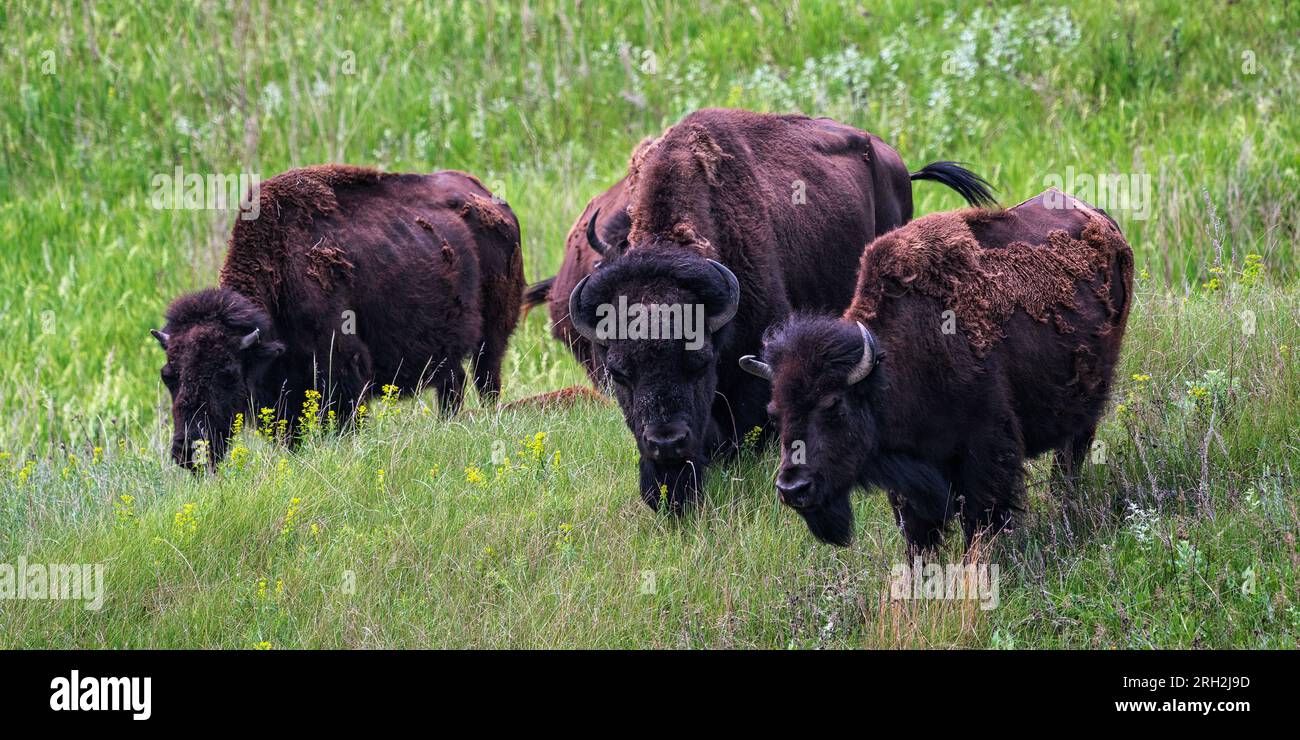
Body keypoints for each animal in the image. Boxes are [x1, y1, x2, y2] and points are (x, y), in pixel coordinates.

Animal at [153, 164, 524, 470]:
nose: (189, 451)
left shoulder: (345, 374)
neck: (281, 273)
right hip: (446, 354)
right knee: (454, 384)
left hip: (493, 336)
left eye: (227, 373)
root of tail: (493, 201)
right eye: (168, 375)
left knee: (486, 380)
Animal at [740, 189, 1134, 549]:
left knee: (1070, 458)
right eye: (775, 412)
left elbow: (981, 521)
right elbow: (917, 533)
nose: (792, 487)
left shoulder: (985, 452)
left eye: (833, 405)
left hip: (1088, 402)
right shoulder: (911, 482)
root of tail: (1102, 219)